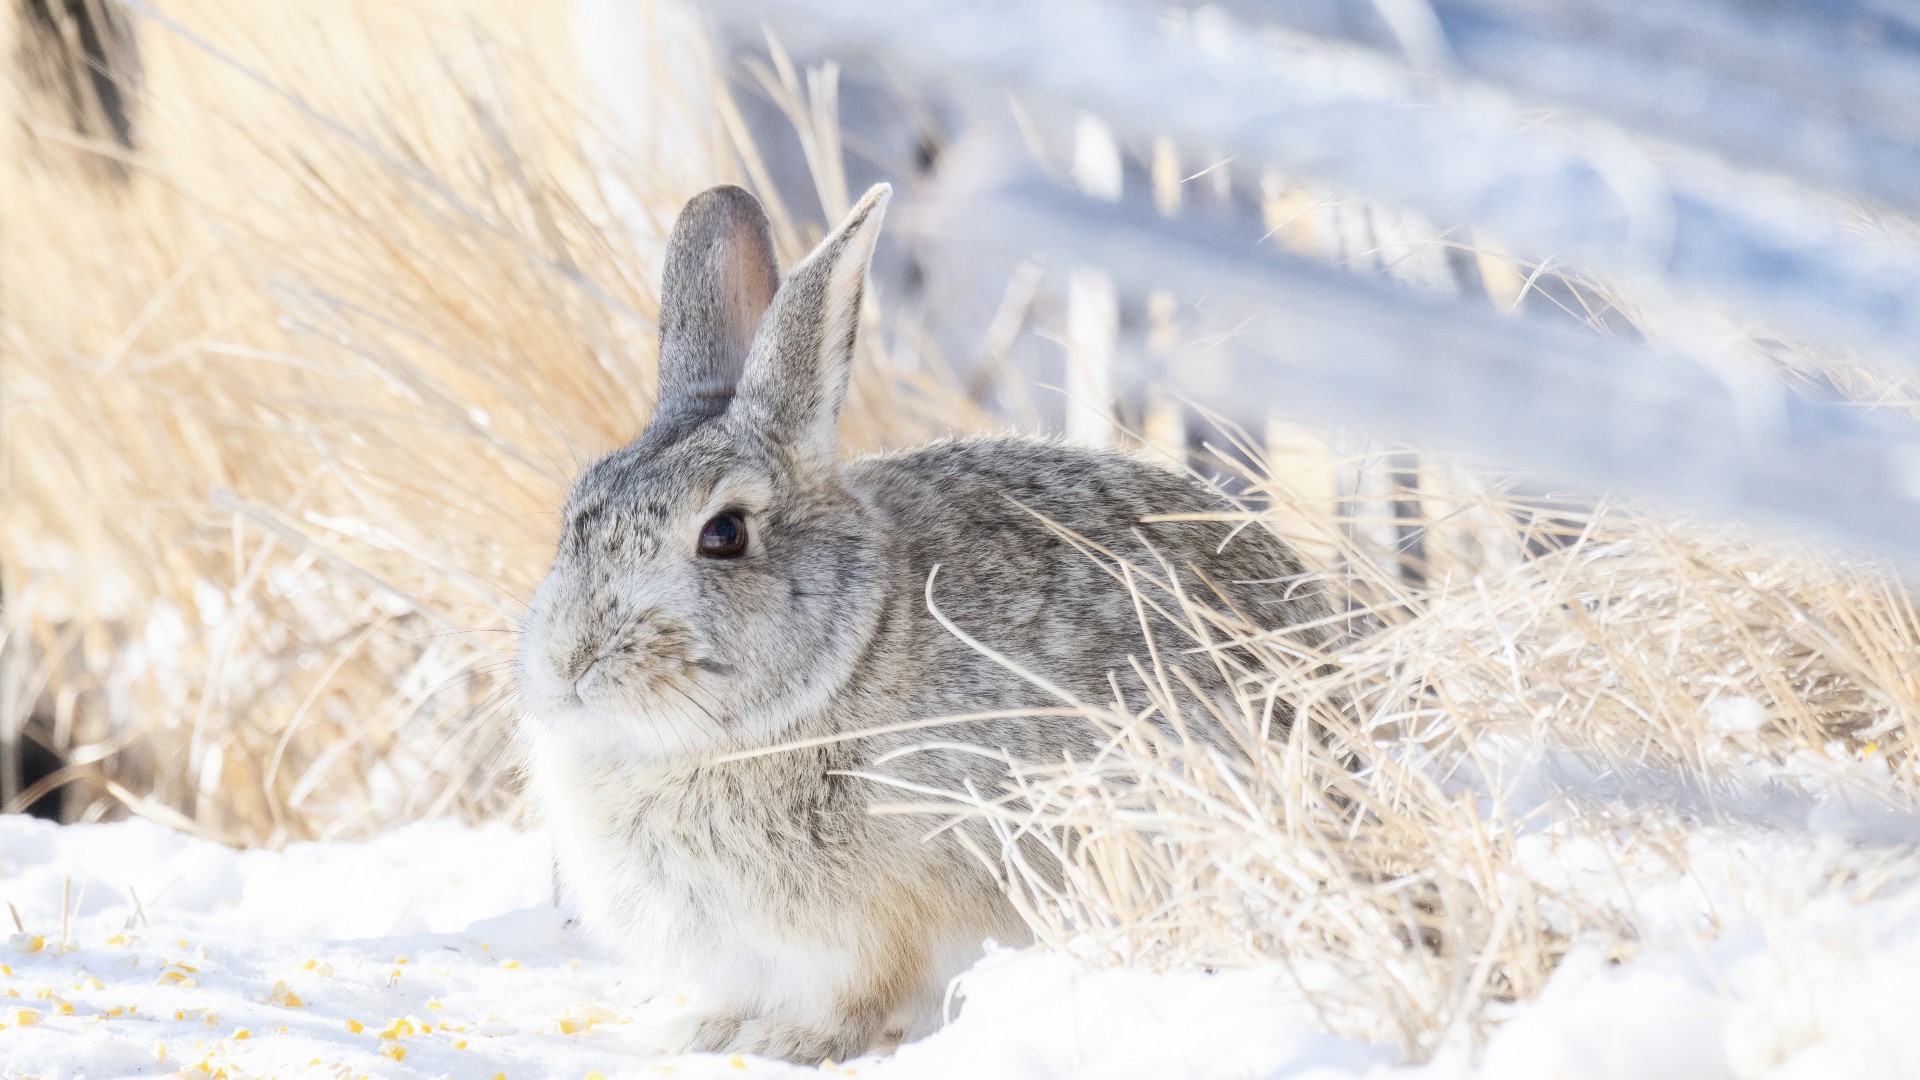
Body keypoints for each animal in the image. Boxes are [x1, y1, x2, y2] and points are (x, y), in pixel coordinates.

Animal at [515, 181, 1330, 1065]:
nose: (569, 660)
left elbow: (853, 1001)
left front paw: (782, 1042)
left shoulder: (865, 935)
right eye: (575, 511)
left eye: (724, 533)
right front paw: (706, 1028)